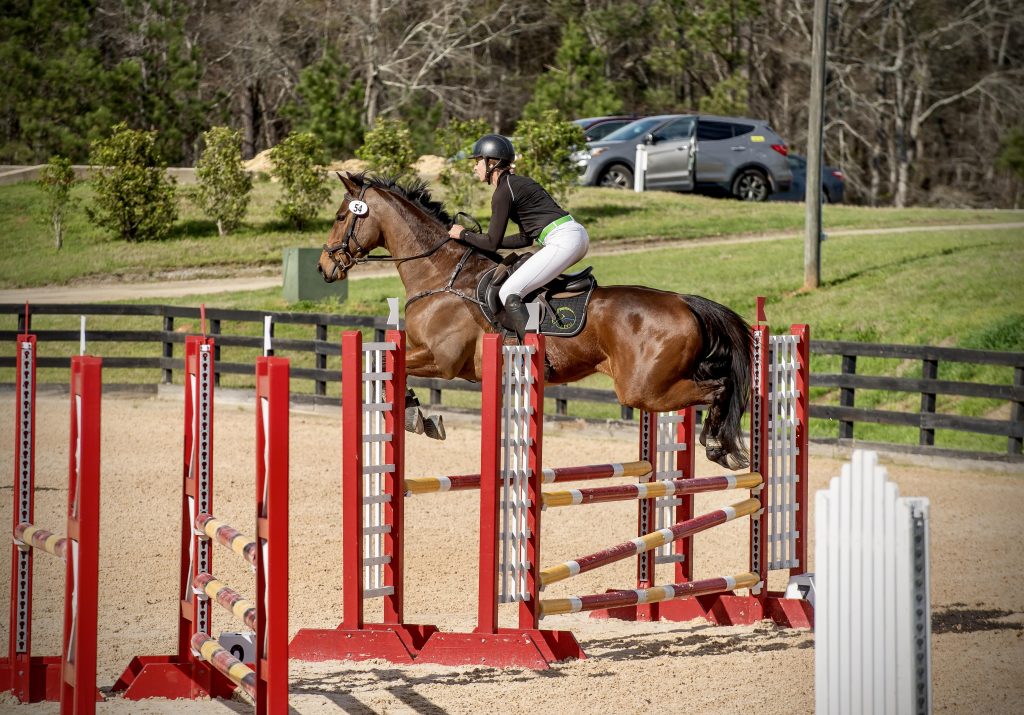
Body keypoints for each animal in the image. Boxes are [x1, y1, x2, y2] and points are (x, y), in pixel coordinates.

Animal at [317, 172, 752, 470]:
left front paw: (416, 417)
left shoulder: (443, 360)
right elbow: (393, 366)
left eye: (339, 216)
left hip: (643, 390)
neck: (442, 275)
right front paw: (416, 415)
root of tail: (685, 301)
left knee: (717, 387)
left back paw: (719, 447)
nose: (324, 267)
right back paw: (723, 447)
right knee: (719, 384)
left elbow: (394, 366)